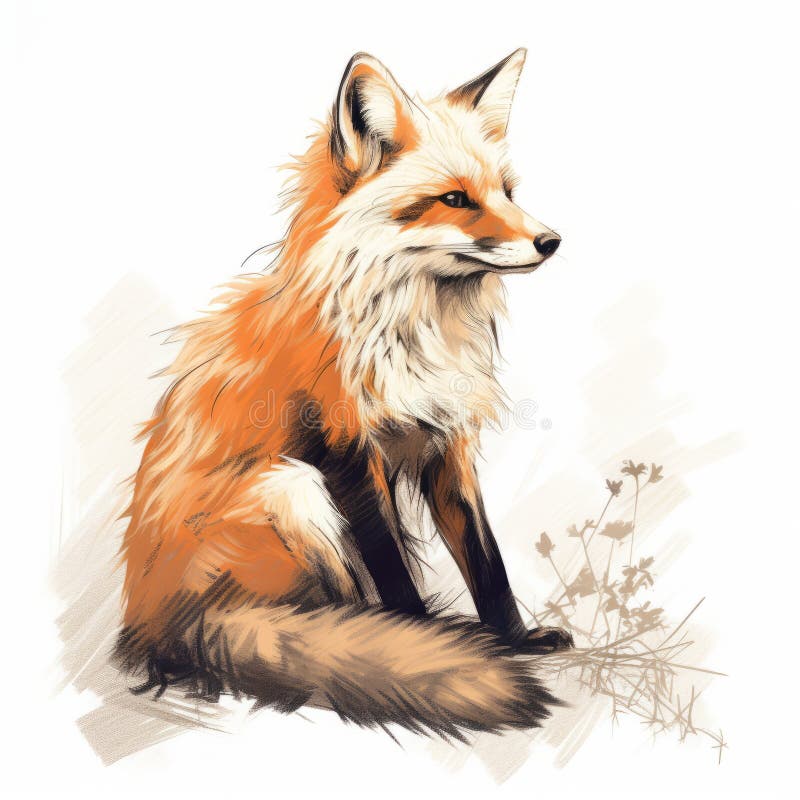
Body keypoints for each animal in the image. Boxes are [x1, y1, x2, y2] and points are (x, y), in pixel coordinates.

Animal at [117, 48, 573, 740]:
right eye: (454, 199)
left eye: (508, 193)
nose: (551, 241)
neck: (409, 332)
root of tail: (154, 620)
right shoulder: (345, 450)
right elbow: (394, 571)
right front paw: (430, 645)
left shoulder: (445, 441)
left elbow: (486, 561)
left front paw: (513, 641)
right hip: (290, 487)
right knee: (326, 614)